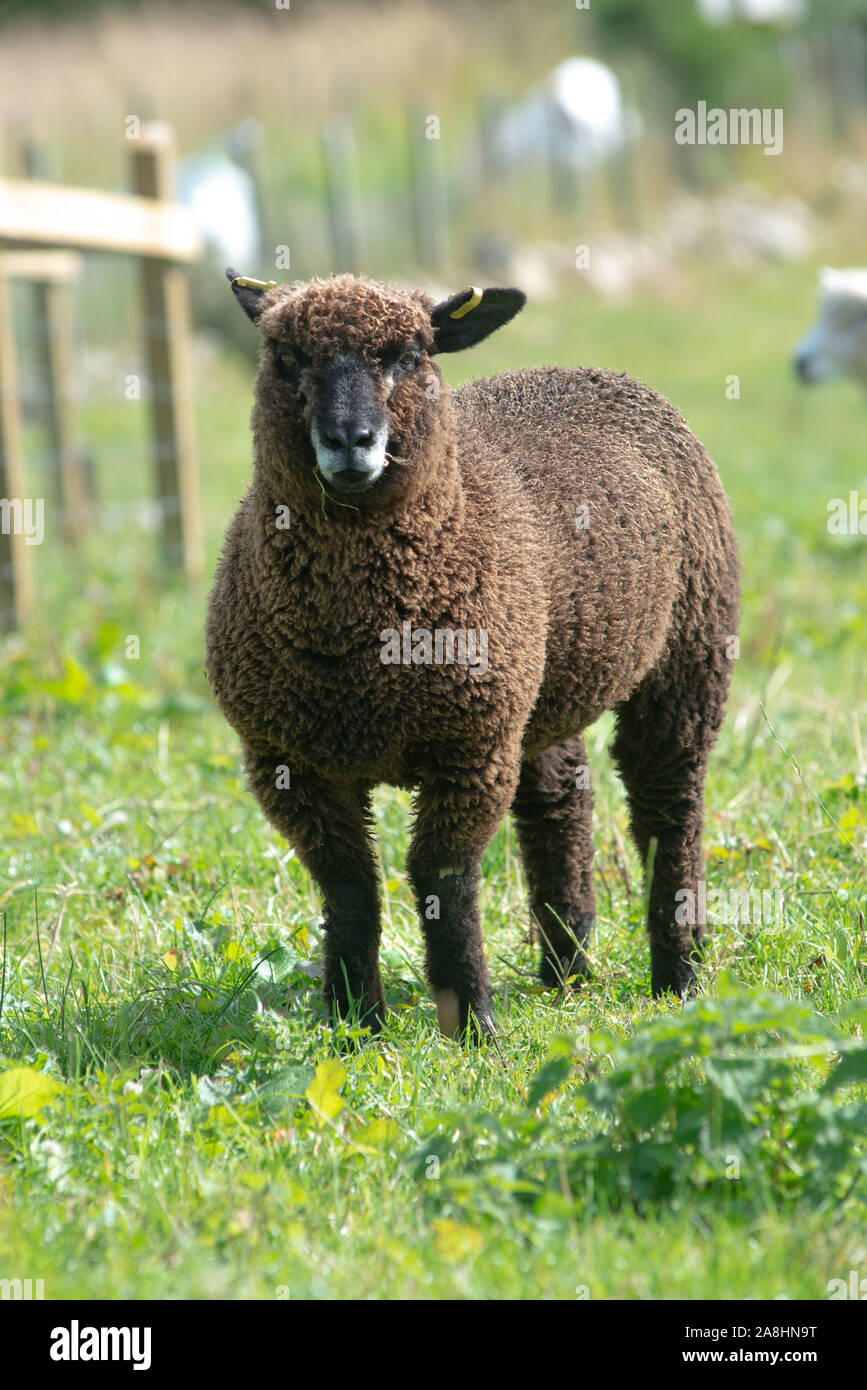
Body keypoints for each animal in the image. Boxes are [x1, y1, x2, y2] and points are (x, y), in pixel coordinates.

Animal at [205, 269, 740, 1040]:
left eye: (409, 355)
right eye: (285, 355)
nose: (349, 441)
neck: (357, 654)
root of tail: (584, 369)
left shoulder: (470, 747)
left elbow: (443, 878)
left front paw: (471, 1023)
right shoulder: (287, 760)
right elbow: (348, 885)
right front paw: (355, 1025)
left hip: (689, 648)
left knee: (668, 802)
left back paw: (678, 973)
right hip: (537, 681)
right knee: (559, 796)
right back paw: (566, 965)